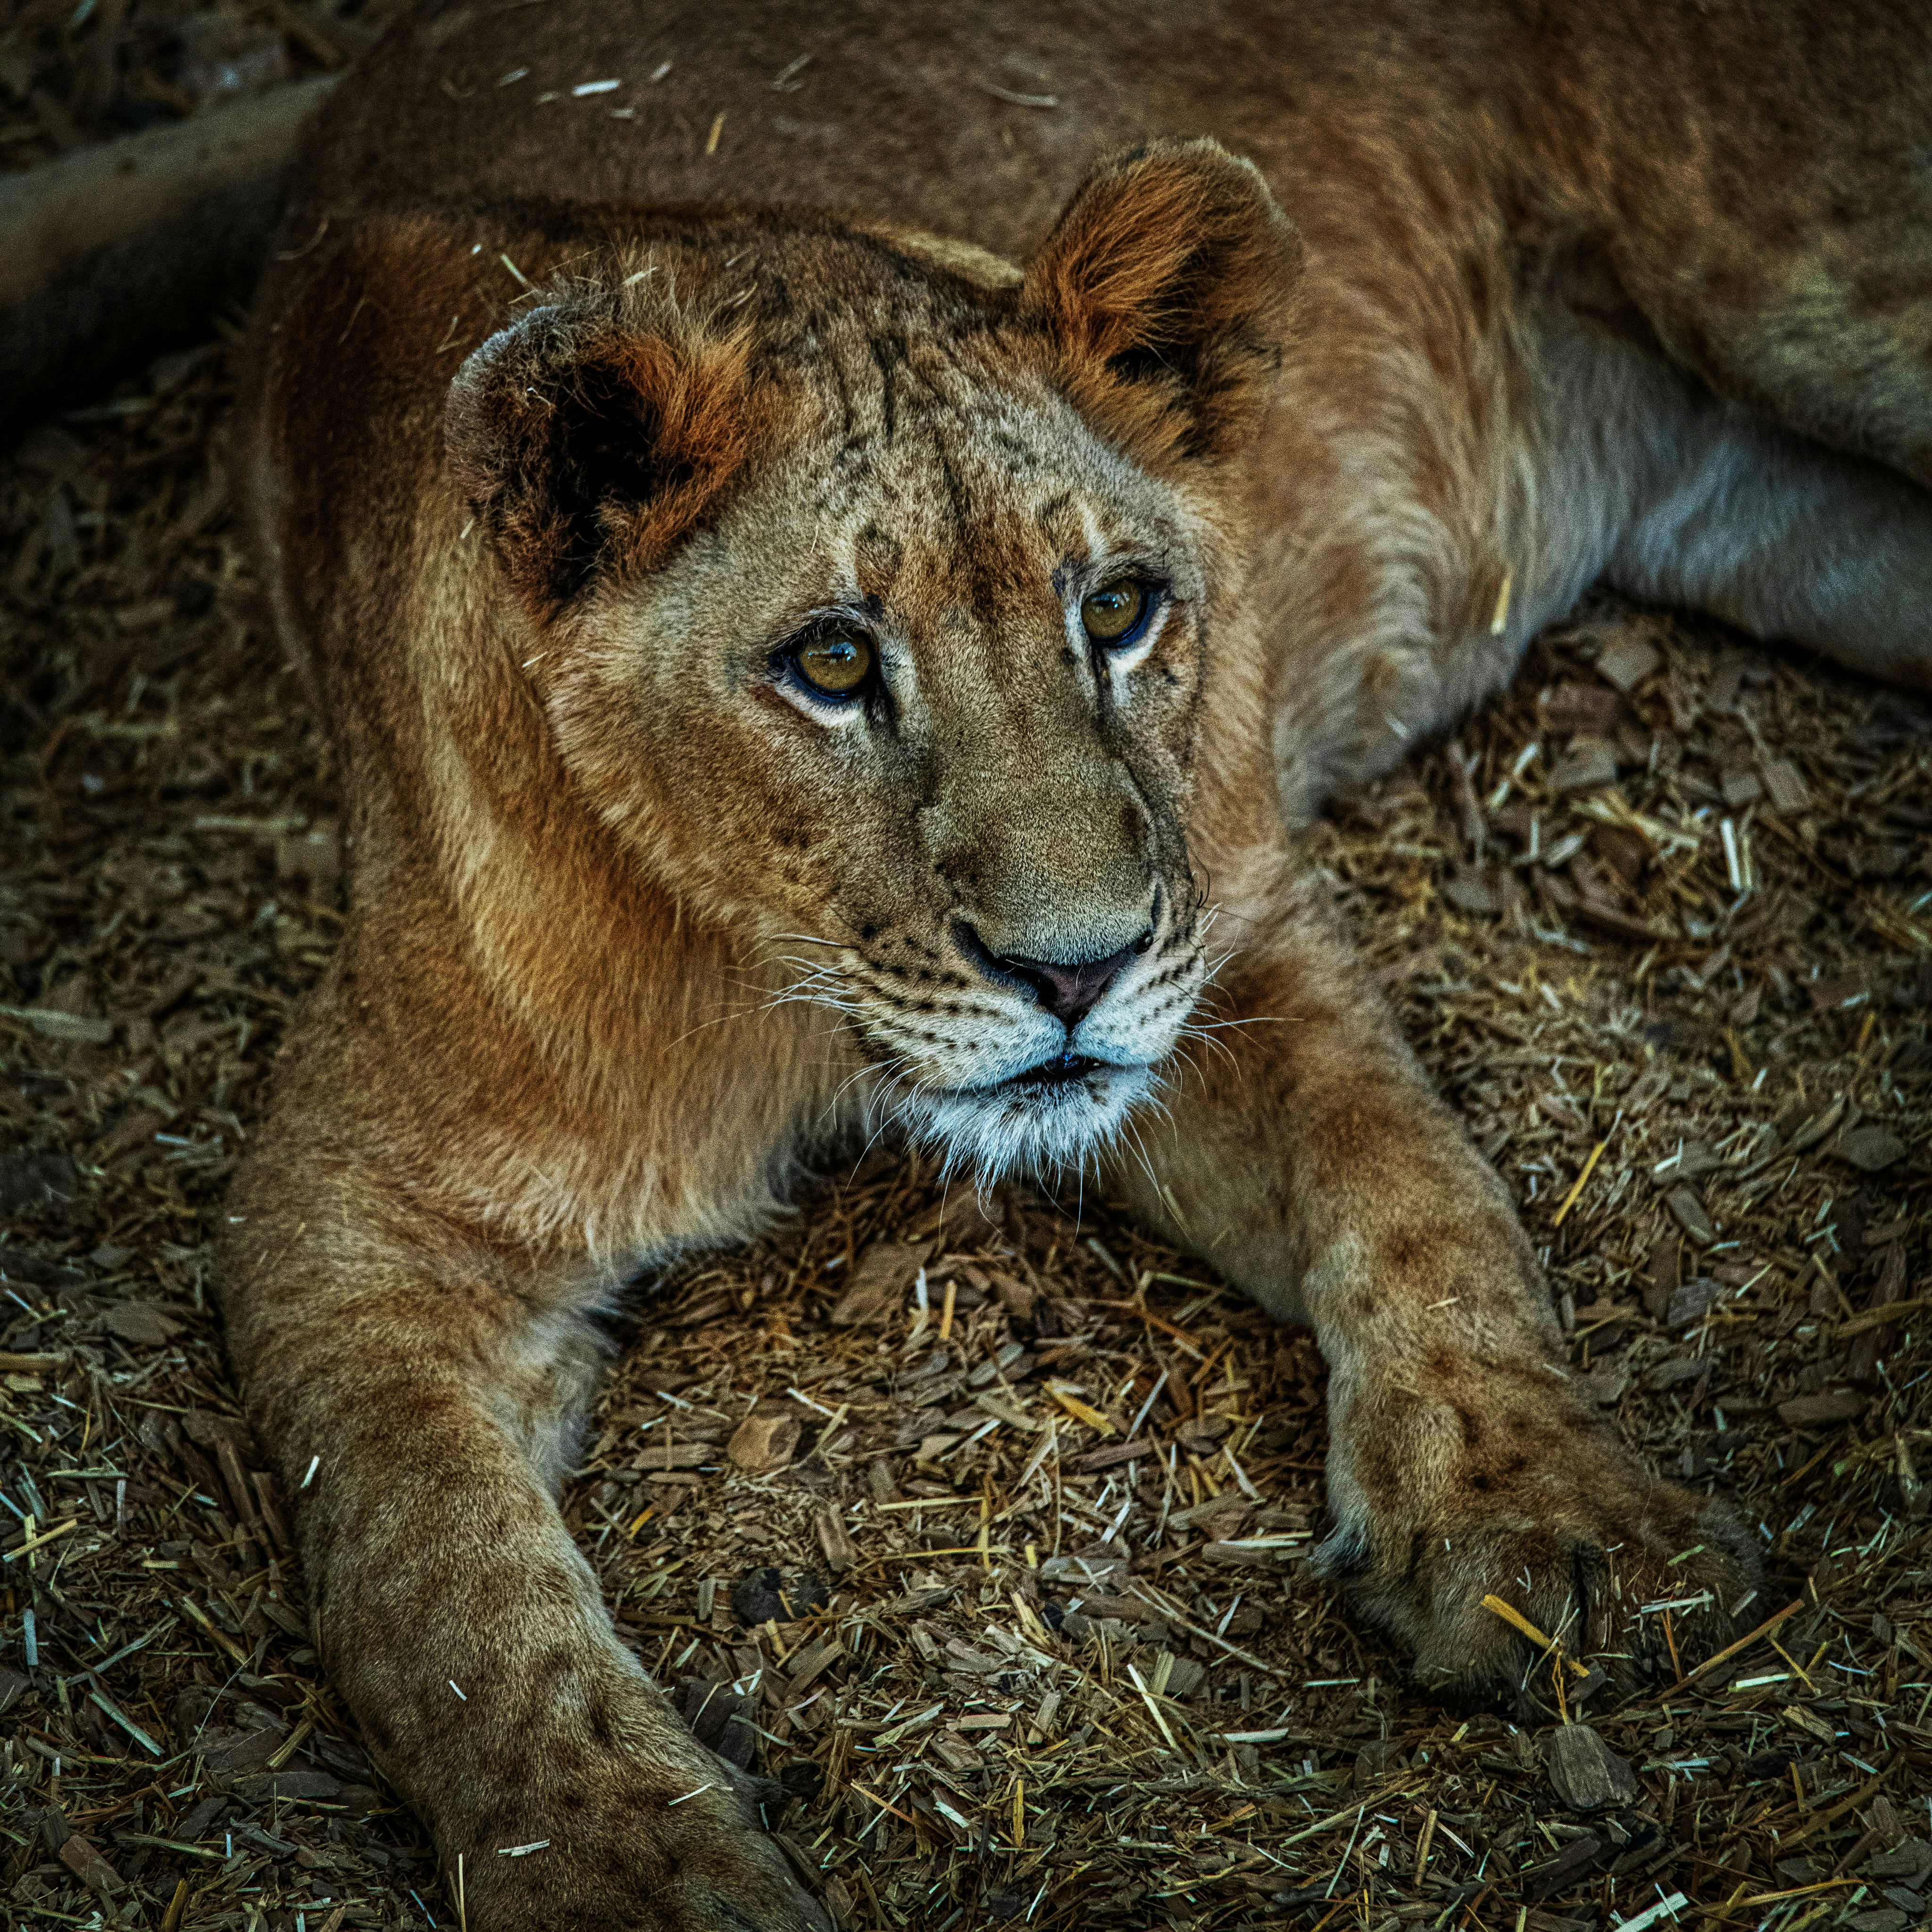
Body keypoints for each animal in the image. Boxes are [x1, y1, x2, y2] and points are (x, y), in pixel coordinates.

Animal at [225, 0, 1931, 1923]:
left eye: (1115, 609)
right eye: (831, 662)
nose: (1074, 972)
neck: (781, 1000)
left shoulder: (1228, 905)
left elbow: (1402, 1167)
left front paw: (1545, 1516)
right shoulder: (344, 1221)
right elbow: (439, 1589)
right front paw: (630, 1877)